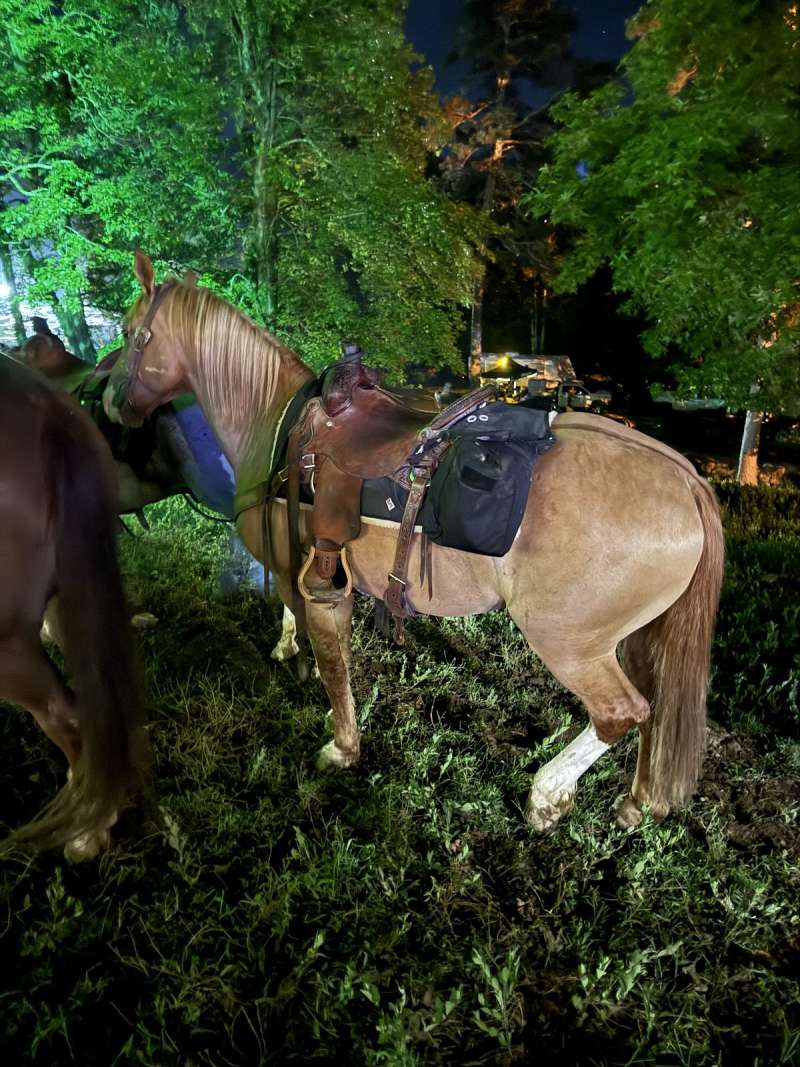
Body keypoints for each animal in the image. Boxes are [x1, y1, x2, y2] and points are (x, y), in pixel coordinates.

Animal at [104, 251, 724, 832]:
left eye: (133, 332)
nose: (111, 403)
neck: (276, 421)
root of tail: (686, 480)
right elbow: (310, 634)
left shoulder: (318, 585)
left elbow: (331, 663)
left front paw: (342, 747)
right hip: (634, 637)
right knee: (658, 707)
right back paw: (637, 800)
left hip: (570, 641)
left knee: (621, 712)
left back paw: (548, 795)